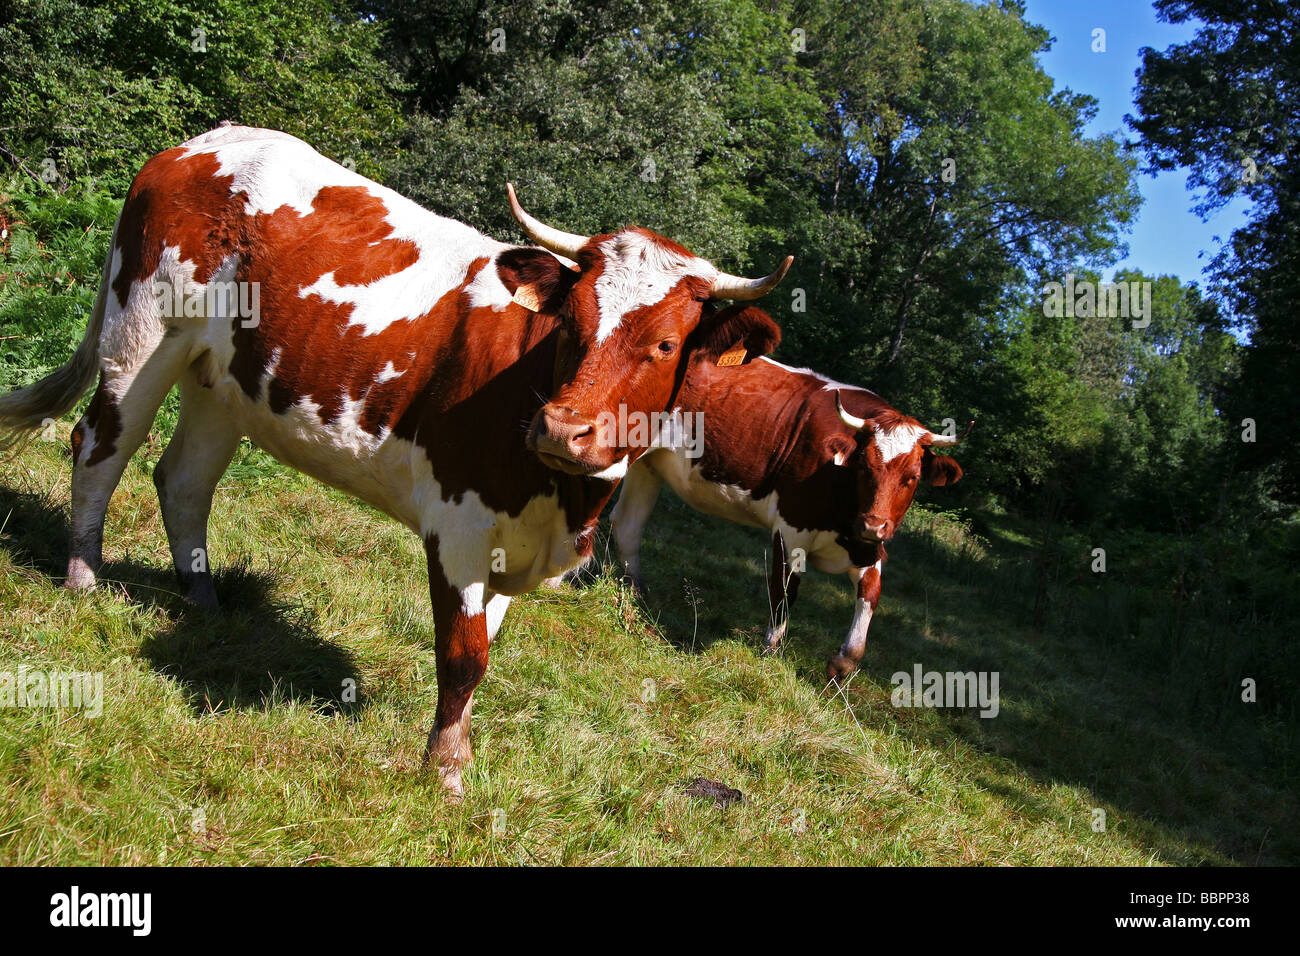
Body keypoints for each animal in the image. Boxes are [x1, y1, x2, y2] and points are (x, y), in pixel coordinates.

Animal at [0, 124, 792, 796]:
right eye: (570, 322)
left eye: (665, 344)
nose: (564, 427)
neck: (563, 500)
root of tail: (201, 143)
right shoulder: (460, 523)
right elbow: (463, 654)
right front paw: (442, 774)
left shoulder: (516, 546)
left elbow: (484, 649)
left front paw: (457, 756)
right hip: (144, 332)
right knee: (98, 447)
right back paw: (82, 578)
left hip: (221, 380)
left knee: (184, 480)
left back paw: (203, 600)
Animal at [609, 309, 968, 682]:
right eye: (864, 467)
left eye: (912, 478)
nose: (873, 525)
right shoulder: (791, 528)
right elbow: (784, 591)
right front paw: (770, 652)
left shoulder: (868, 548)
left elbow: (871, 594)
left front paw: (842, 664)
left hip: (649, 463)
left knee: (628, 524)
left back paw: (636, 594)